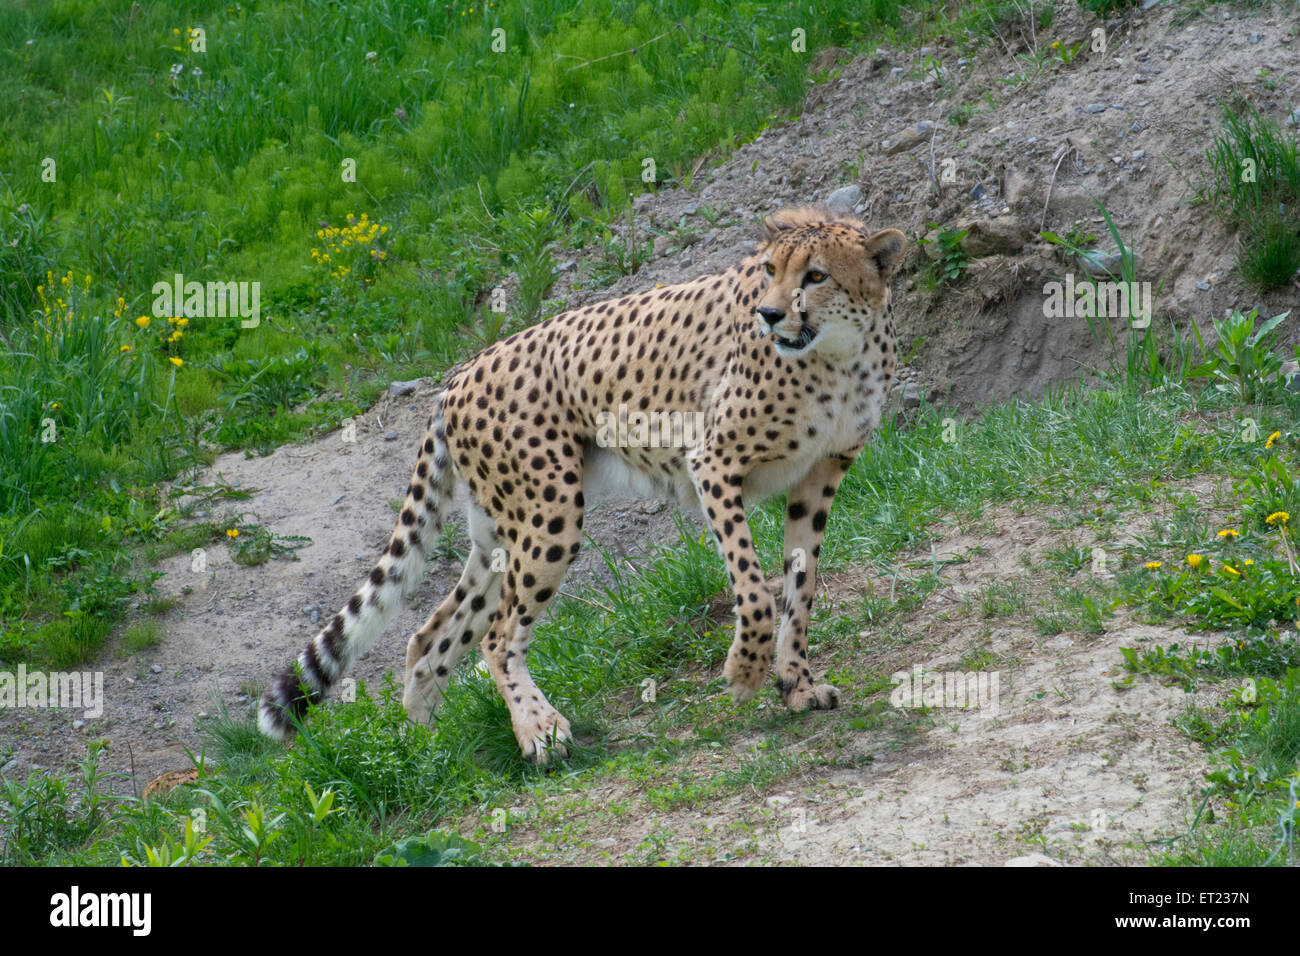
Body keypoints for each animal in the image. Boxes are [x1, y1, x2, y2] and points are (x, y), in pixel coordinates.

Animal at [259, 205, 906, 763]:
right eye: (770, 271)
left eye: (816, 275)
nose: (769, 316)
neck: (837, 355)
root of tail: (461, 371)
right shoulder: (713, 463)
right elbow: (753, 587)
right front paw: (746, 673)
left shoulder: (820, 476)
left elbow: (802, 586)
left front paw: (797, 684)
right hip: (551, 517)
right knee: (497, 638)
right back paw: (538, 732)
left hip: (500, 536)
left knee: (431, 636)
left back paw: (426, 747)